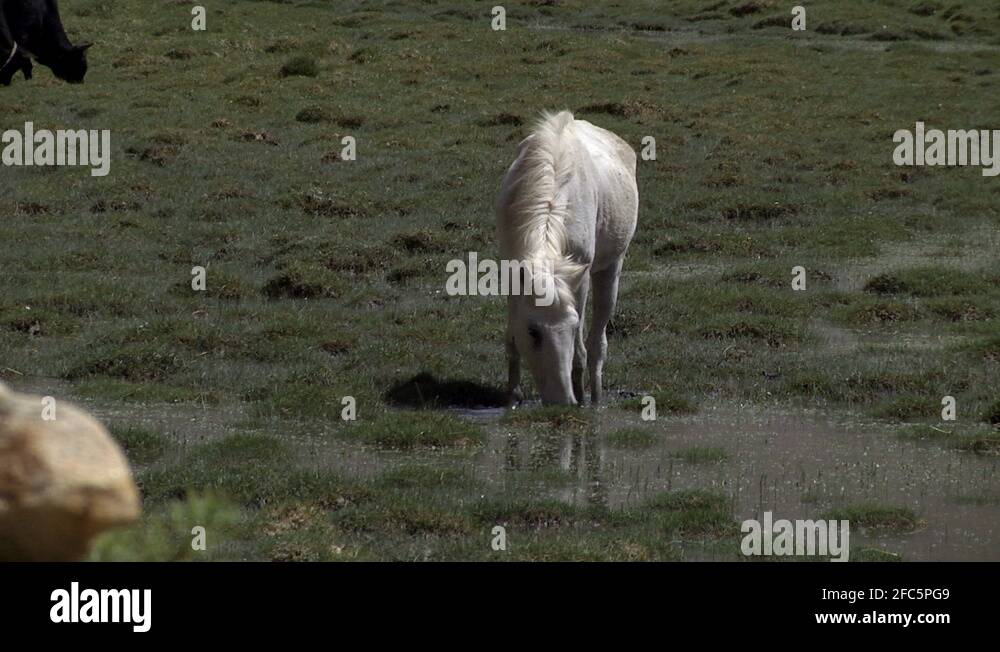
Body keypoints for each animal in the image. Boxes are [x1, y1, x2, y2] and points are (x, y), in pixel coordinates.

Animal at [497, 110, 638, 406]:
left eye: (572, 329)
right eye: (533, 332)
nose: (562, 401)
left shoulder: (579, 279)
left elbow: (580, 349)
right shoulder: (511, 273)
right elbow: (511, 337)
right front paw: (512, 395)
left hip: (611, 270)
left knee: (597, 343)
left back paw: (594, 398)